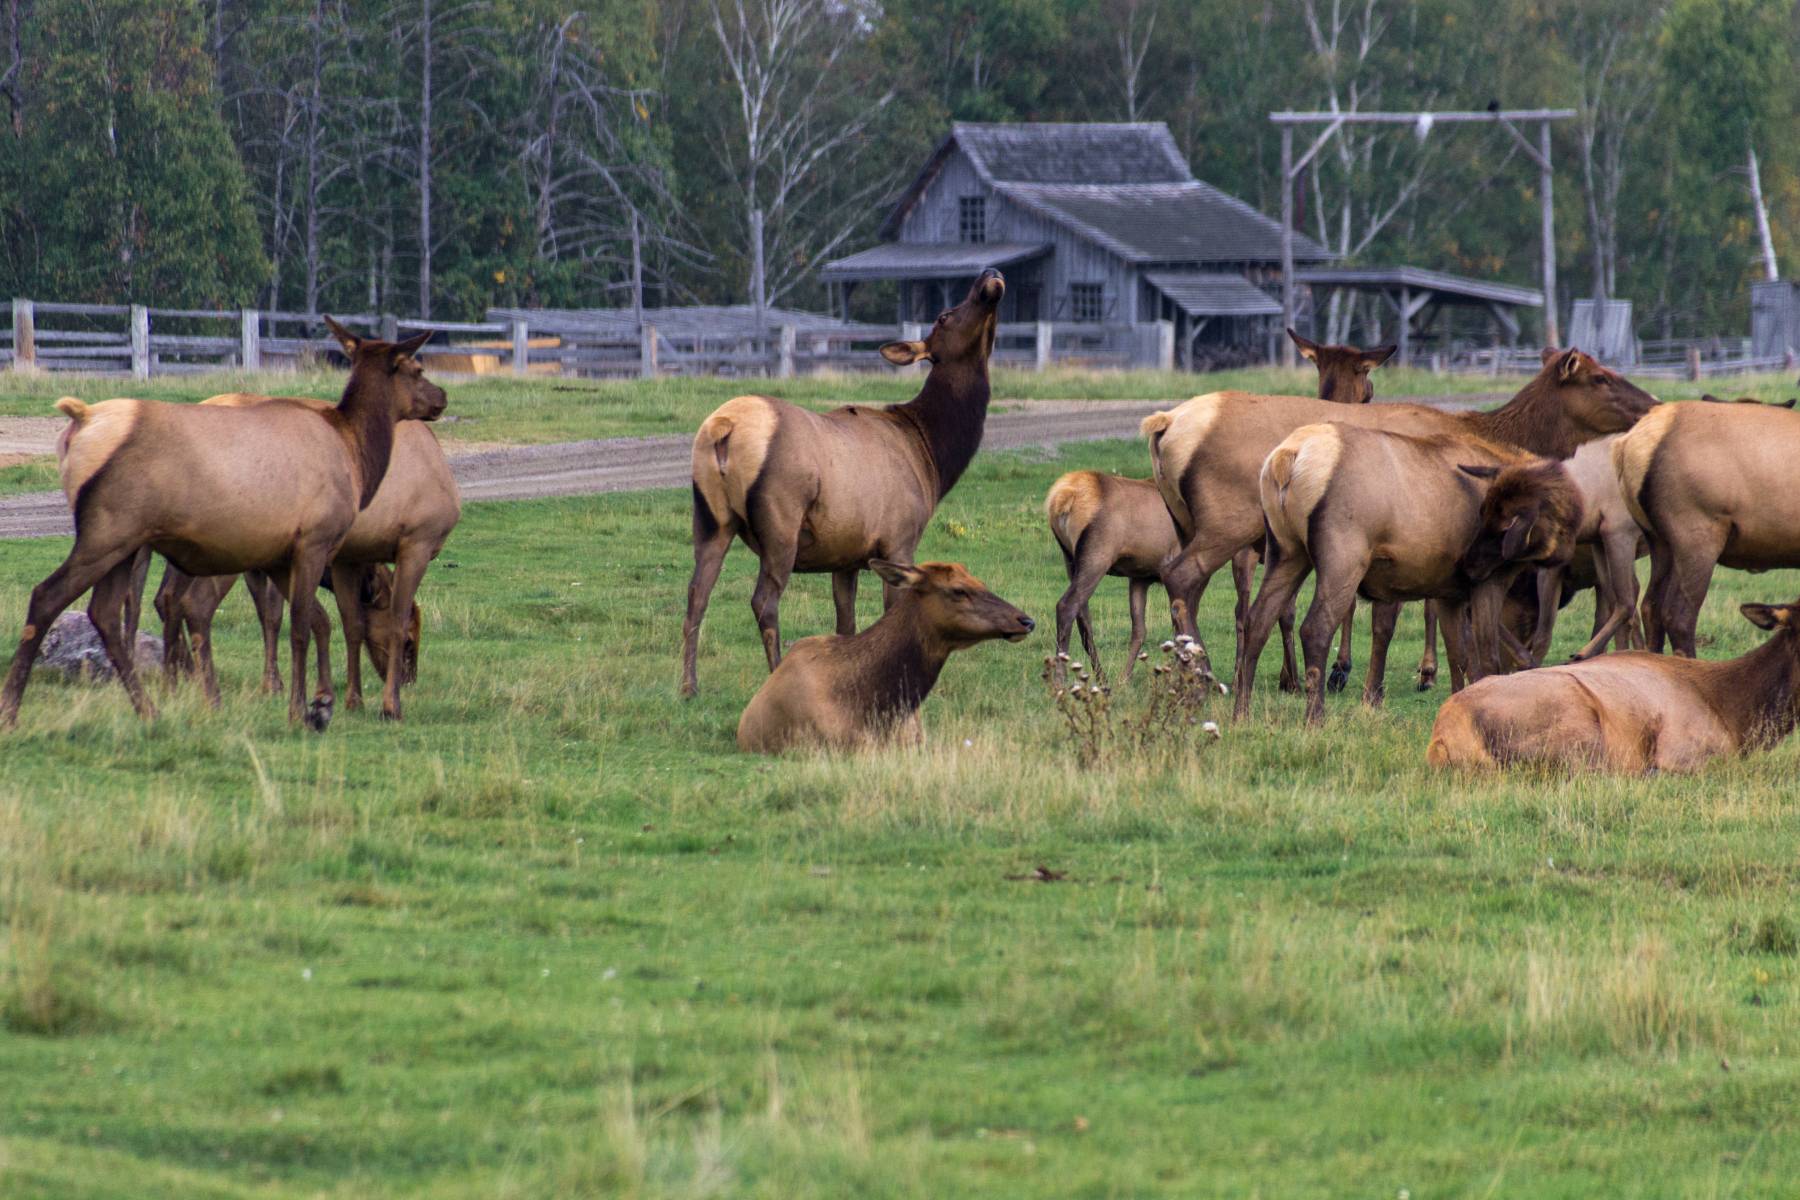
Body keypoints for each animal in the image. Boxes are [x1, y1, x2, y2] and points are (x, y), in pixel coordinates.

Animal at [145, 392, 460, 720]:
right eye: (411, 643)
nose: (409, 680)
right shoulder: (416, 542)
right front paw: (387, 705)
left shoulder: (344, 557)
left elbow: (348, 624)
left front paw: (350, 699)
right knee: (195, 605)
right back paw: (203, 691)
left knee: (167, 597)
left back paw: (176, 682)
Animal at [682, 268, 1004, 698]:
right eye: (944, 315)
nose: (990, 276)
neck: (932, 455)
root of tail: (724, 427)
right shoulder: (899, 540)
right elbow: (892, 613)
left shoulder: (846, 557)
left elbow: (846, 624)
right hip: (780, 523)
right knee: (764, 602)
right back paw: (775, 676)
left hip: (710, 518)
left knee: (696, 595)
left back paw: (689, 687)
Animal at [1044, 471, 1178, 680]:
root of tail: (1061, 497)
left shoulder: (1139, 577)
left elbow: (1139, 630)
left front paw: (1124, 678)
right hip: (1097, 554)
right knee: (1066, 606)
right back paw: (1061, 678)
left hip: (1070, 559)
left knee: (1084, 618)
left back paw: (1101, 677)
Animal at [1142, 348, 1656, 687]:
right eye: (1600, 378)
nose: (1652, 405)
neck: (1490, 434)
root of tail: (1164, 424)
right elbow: (1412, 616)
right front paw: (1405, 680)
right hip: (1226, 520)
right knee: (1182, 575)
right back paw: (1205, 672)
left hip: (1190, 522)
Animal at [1234, 426, 1584, 724]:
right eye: (1490, 522)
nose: (1467, 563)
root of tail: (1285, 459)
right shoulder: (1488, 582)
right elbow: (1486, 657)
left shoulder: (1449, 592)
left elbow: (1458, 654)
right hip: (1343, 556)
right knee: (1314, 628)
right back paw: (1314, 719)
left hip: (1285, 551)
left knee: (1257, 620)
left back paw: (1243, 713)